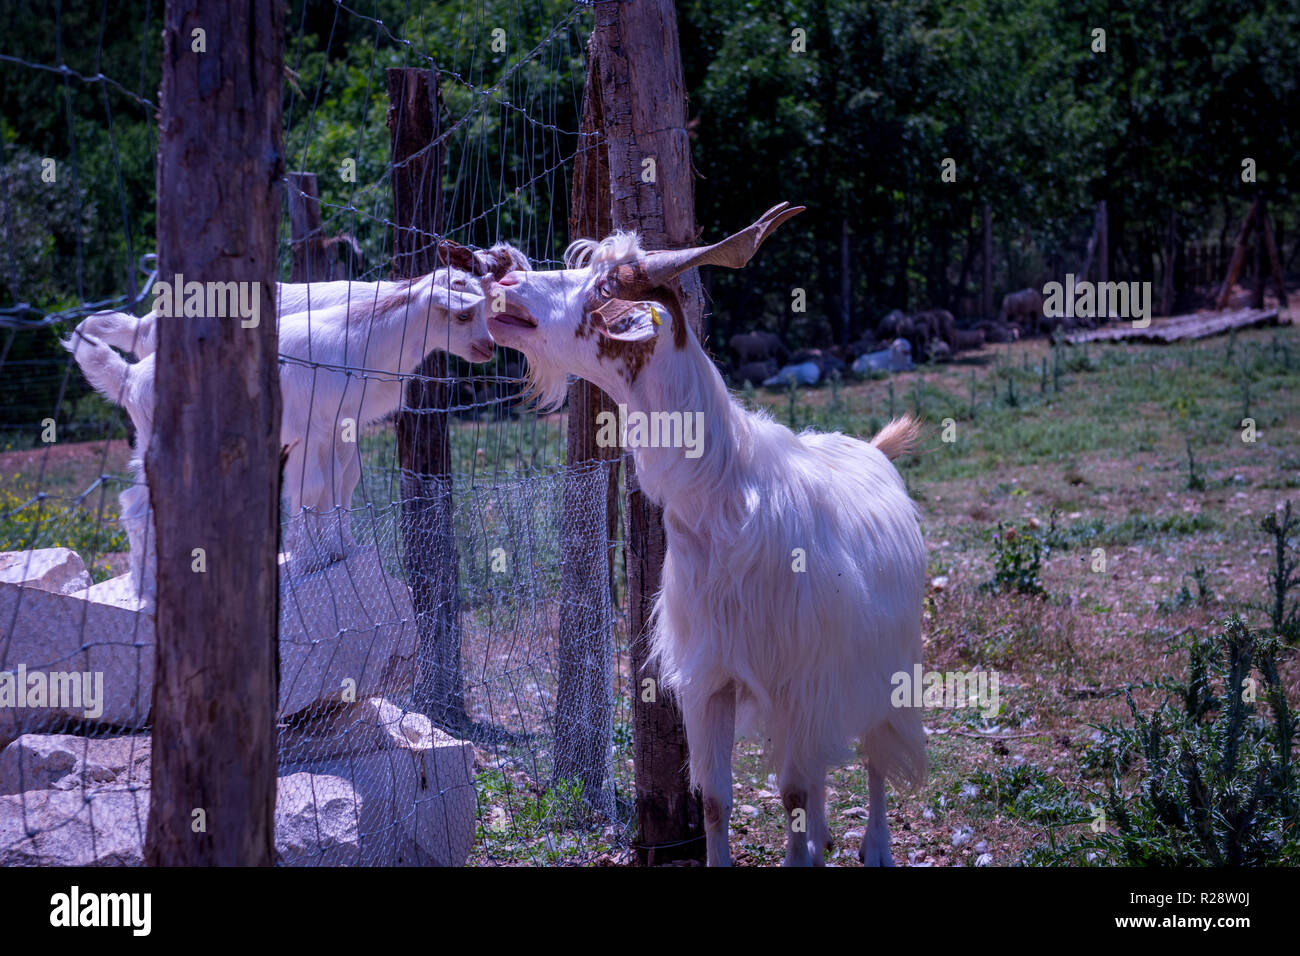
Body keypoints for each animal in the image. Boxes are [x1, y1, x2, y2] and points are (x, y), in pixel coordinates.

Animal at [482, 204, 927, 866]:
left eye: (603, 290)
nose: (506, 282)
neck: (722, 499)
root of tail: (871, 450)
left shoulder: (798, 679)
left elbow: (792, 794)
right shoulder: (707, 677)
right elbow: (718, 800)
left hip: (882, 661)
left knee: (873, 751)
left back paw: (875, 846)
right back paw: (826, 839)